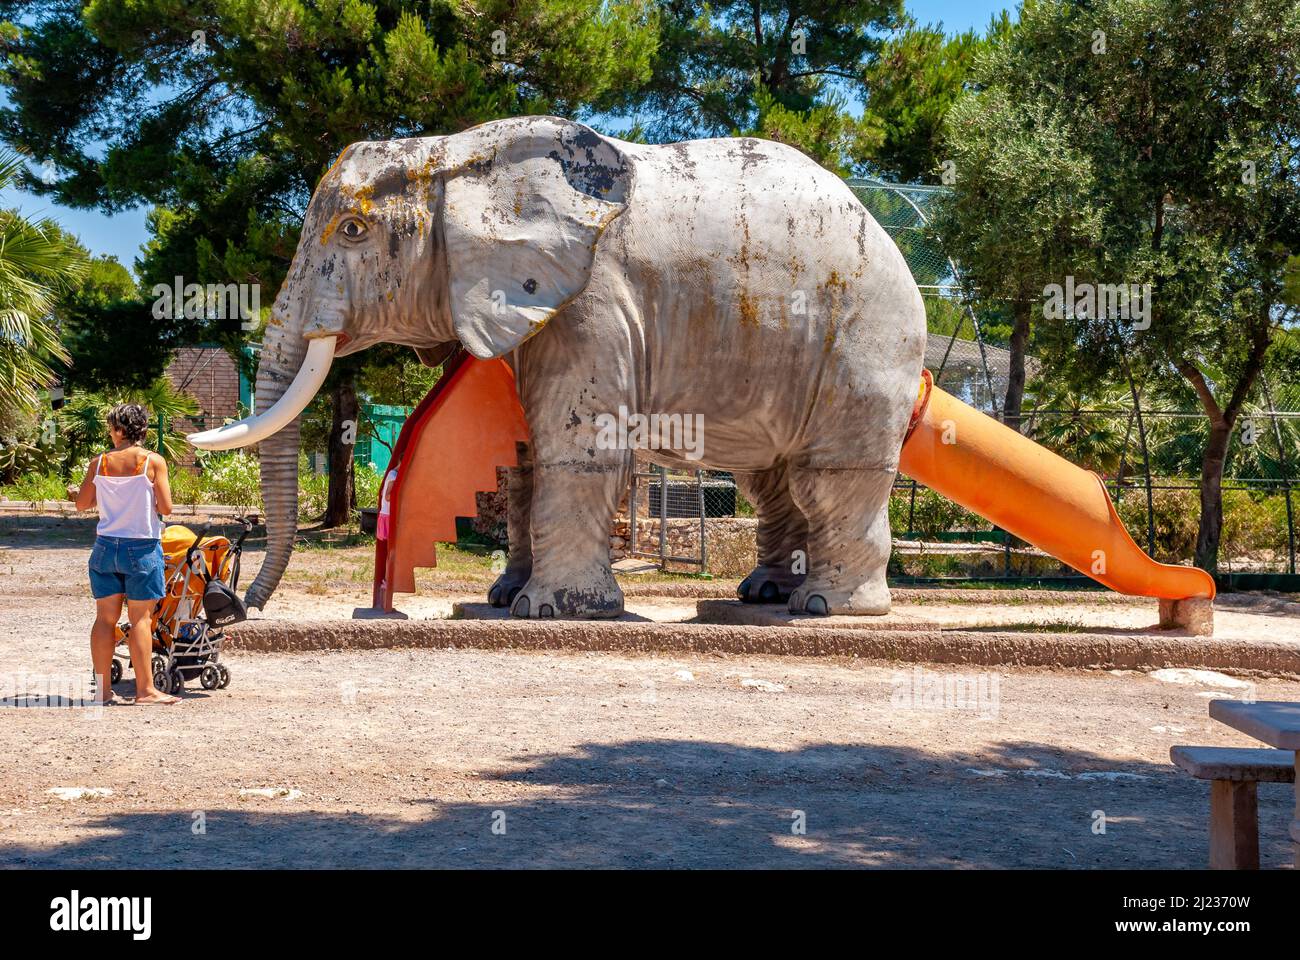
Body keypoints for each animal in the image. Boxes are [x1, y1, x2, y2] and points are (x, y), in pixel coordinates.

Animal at [190, 116, 926, 618]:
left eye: (352, 231)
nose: (237, 606)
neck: (455, 155)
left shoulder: (592, 300)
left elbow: (580, 444)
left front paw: (548, 609)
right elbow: (521, 458)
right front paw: (502, 598)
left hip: (864, 340)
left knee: (830, 472)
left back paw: (826, 607)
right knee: (768, 477)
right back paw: (765, 593)